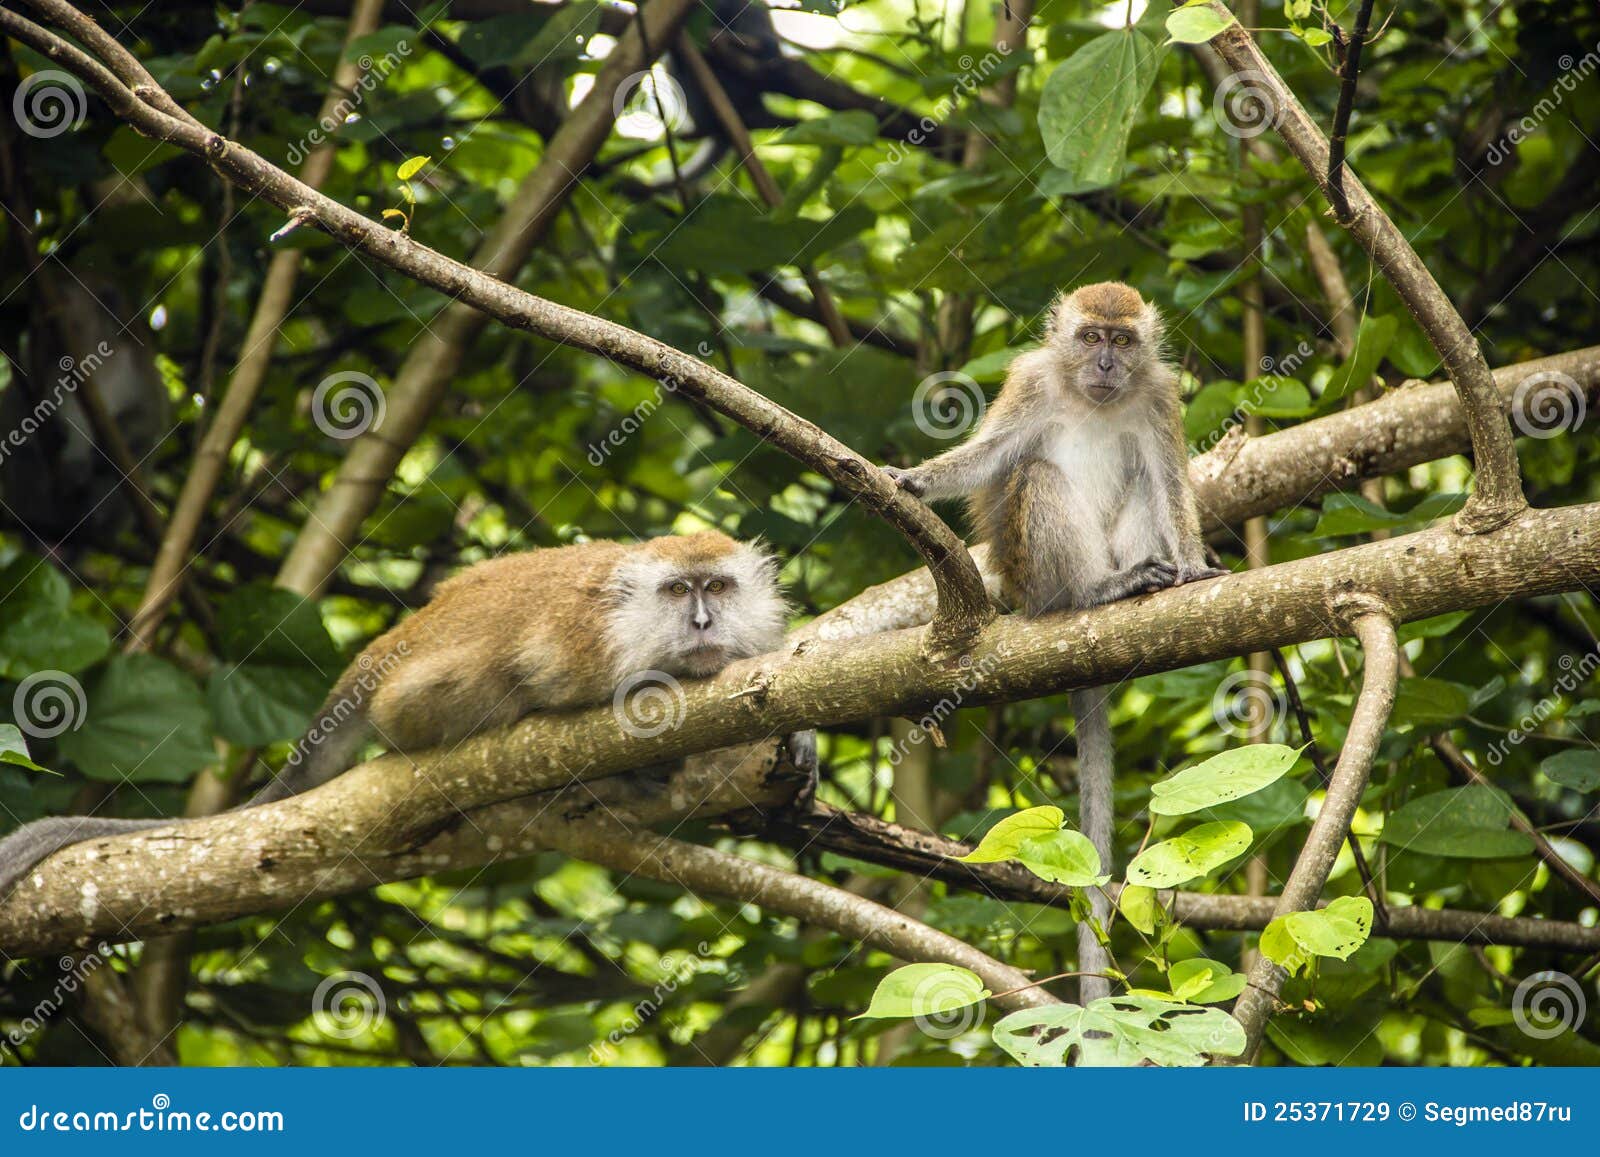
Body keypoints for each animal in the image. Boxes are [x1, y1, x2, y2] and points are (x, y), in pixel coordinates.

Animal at [0, 531, 809, 901]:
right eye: (678, 590)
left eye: (719, 587)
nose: (702, 622)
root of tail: (394, 643)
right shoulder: (591, 647)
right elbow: (562, 678)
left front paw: (794, 744)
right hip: (424, 689)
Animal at [884, 282, 1227, 1001]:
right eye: (1090, 337)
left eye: (1122, 341)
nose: (1106, 364)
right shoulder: (1031, 381)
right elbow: (993, 456)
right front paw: (914, 479)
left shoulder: (1158, 395)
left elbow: (1171, 484)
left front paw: (1194, 566)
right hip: (1037, 577)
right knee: (1036, 474)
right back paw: (1094, 593)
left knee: (1142, 482)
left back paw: (1136, 583)